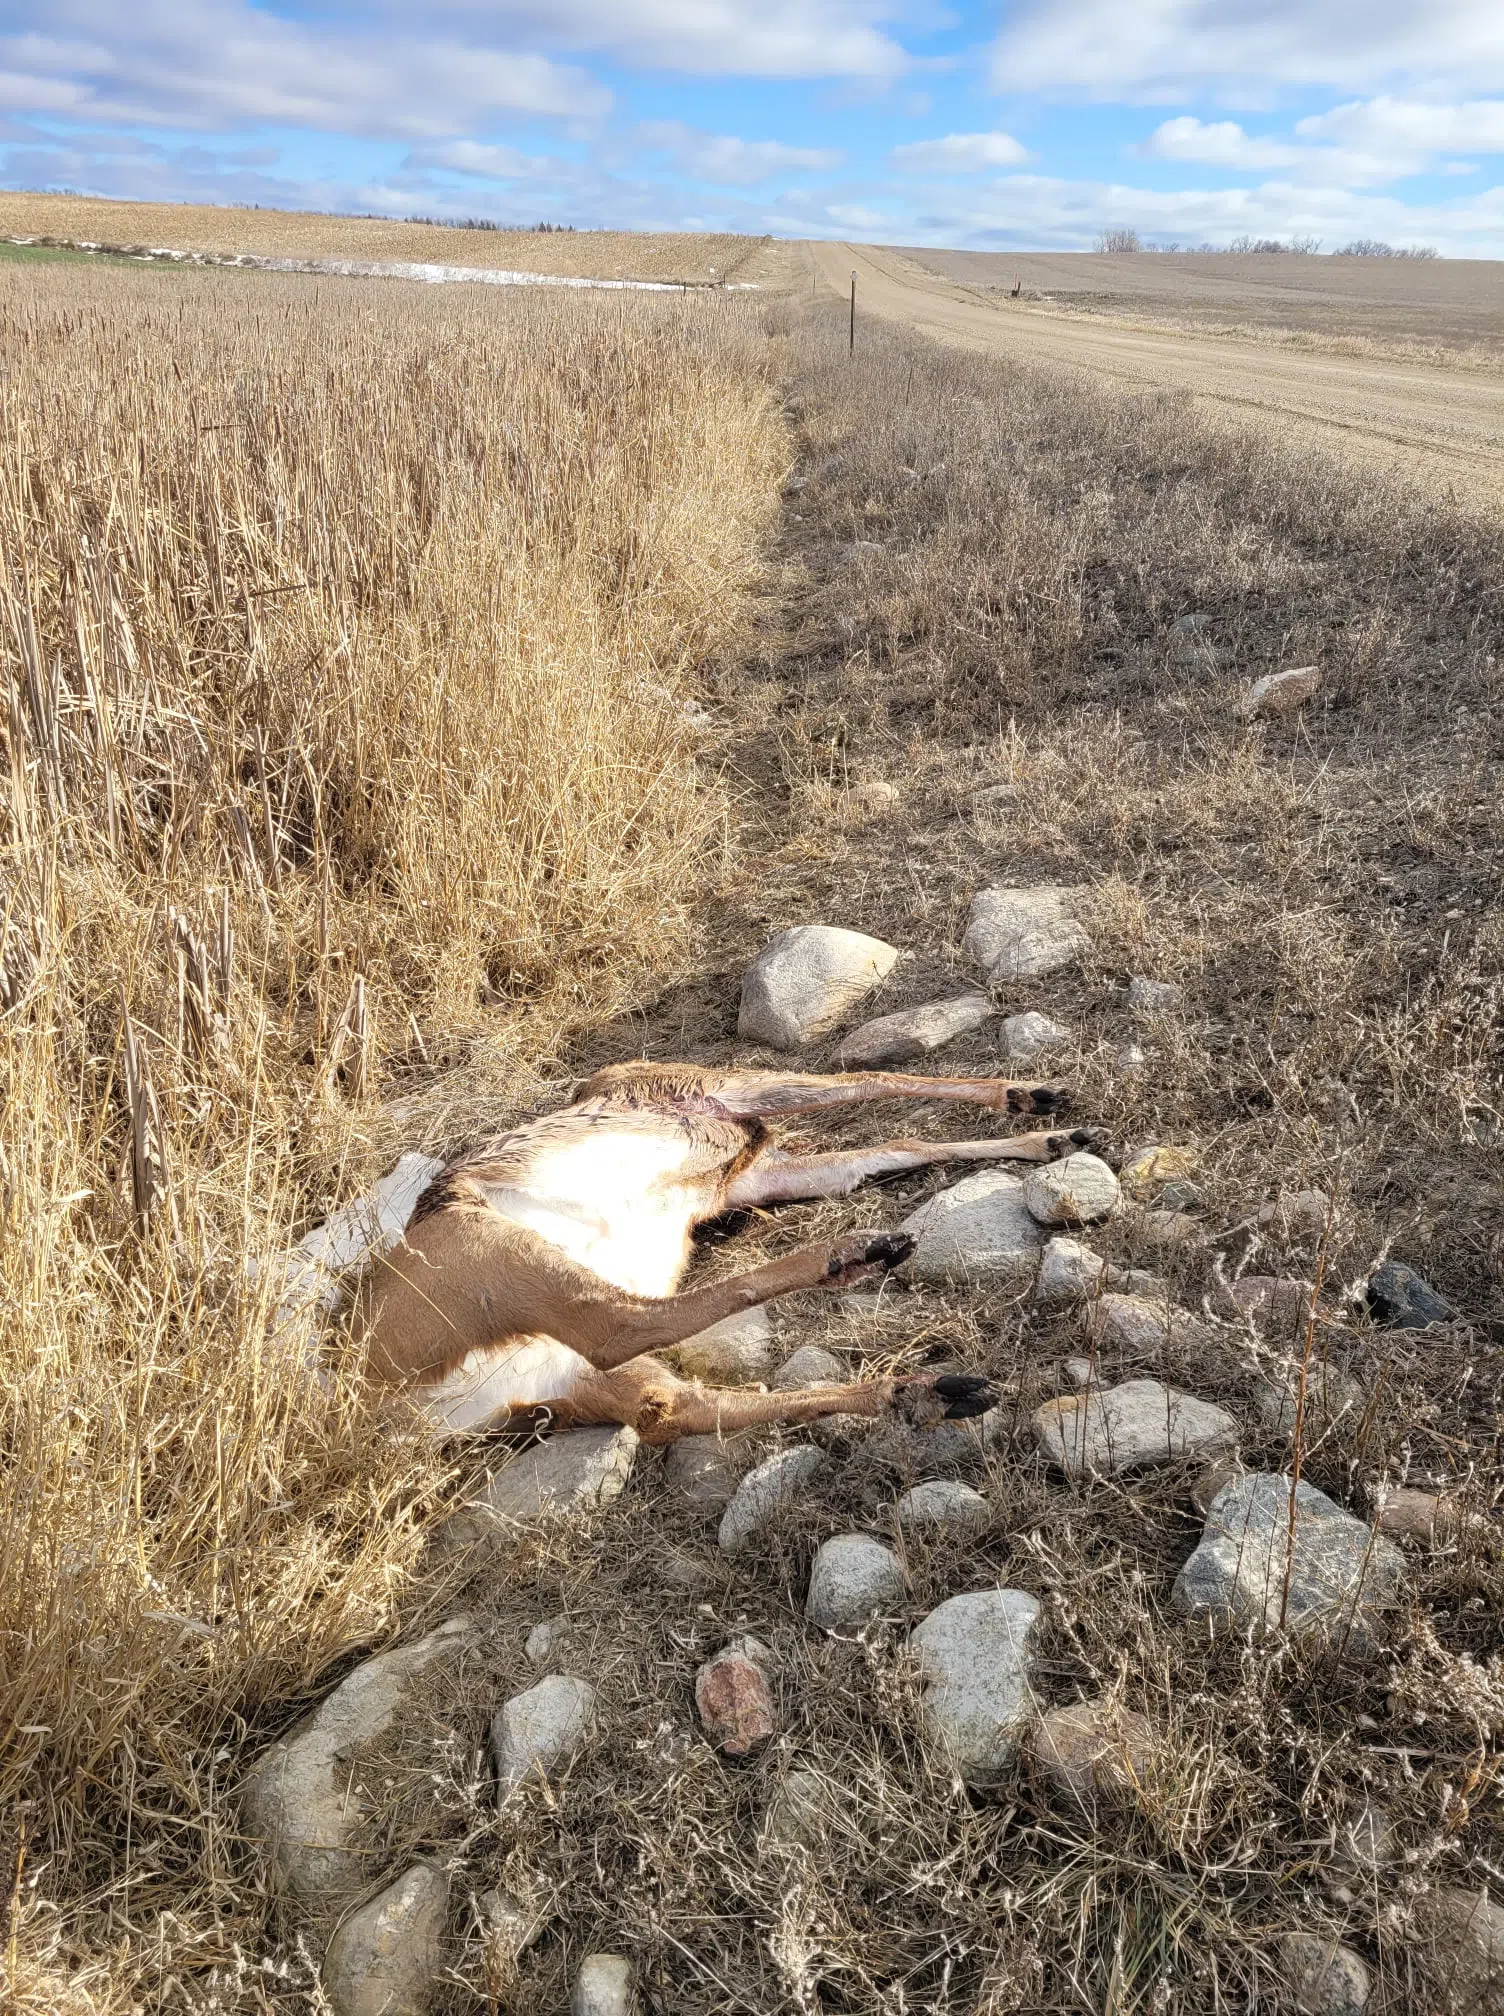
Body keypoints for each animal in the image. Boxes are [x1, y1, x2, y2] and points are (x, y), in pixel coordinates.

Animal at [284, 1061, 1097, 1448]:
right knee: (626, 1323)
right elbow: (869, 1088)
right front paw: (1039, 1103)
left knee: (676, 1401)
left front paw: (1050, 1129)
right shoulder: (732, 1107)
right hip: (495, 1249)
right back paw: (860, 1253)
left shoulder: (755, 1173)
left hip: (573, 1376)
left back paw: (933, 1390)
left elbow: (900, 1141)